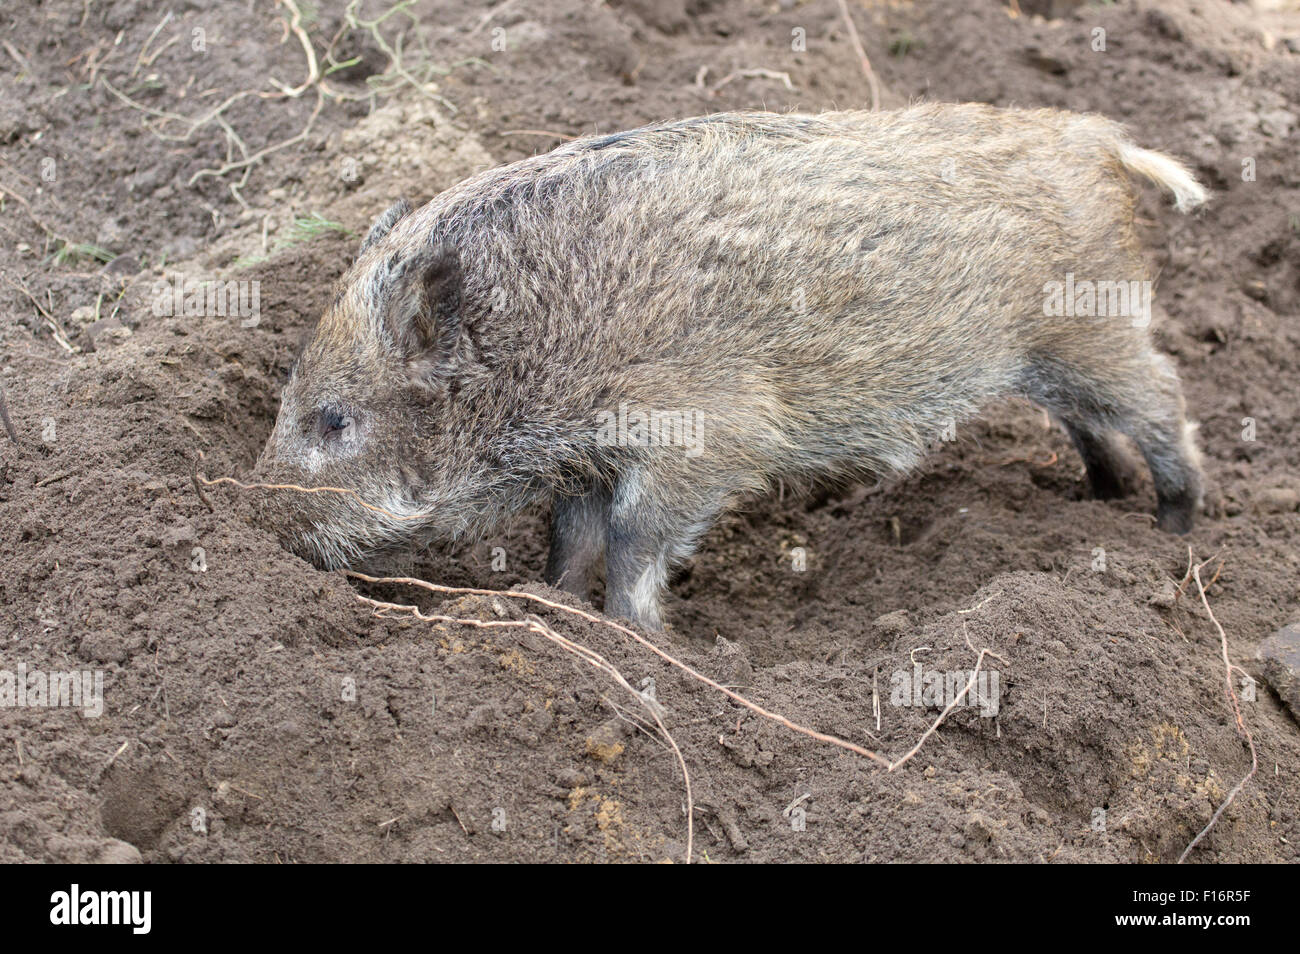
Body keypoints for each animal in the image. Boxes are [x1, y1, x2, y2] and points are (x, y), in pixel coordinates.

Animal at [254, 102, 1207, 630]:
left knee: (1164, 400)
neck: (550, 333)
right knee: (1090, 421)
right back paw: (1097, 501)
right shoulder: (588, 458)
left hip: (1096, 325)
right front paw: (551, 607)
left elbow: (635, 543)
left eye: (334, 419)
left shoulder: (705, 436)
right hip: (1047, 356)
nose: (251, 517)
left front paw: (641, 640)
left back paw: (1172, 532)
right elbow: (571, 541)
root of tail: (1100, 141)